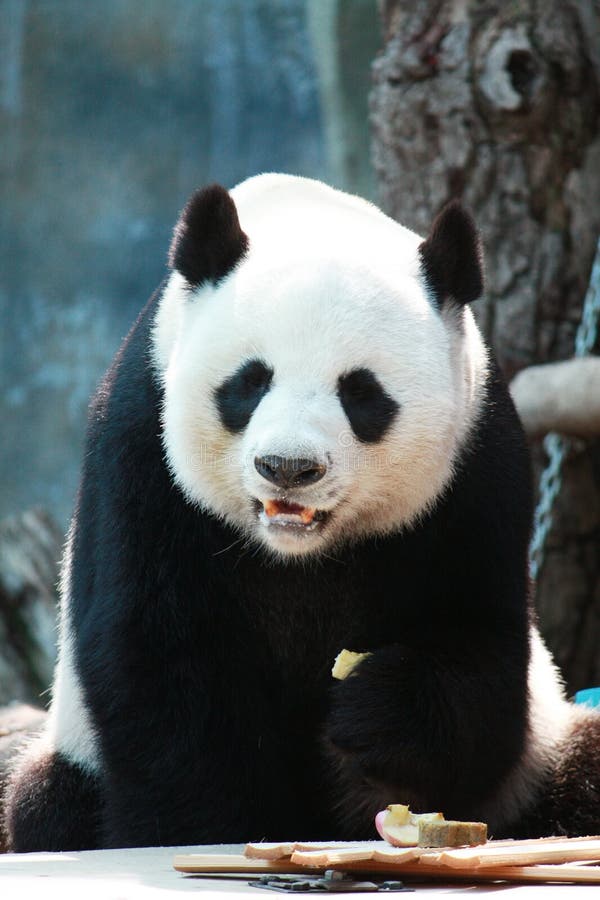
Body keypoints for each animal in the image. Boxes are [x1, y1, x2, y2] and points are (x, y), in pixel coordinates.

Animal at [5, 174, 600, 852]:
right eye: (250, 381)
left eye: (361, 393)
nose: (288, 467)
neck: (297, 553)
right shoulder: (141, 451)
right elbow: (160, 655)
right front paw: (202, 830)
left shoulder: (477, 466)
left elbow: (480, 643)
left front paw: (370, 710)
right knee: (47, 803)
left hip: (542, 758)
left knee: (583, 768)